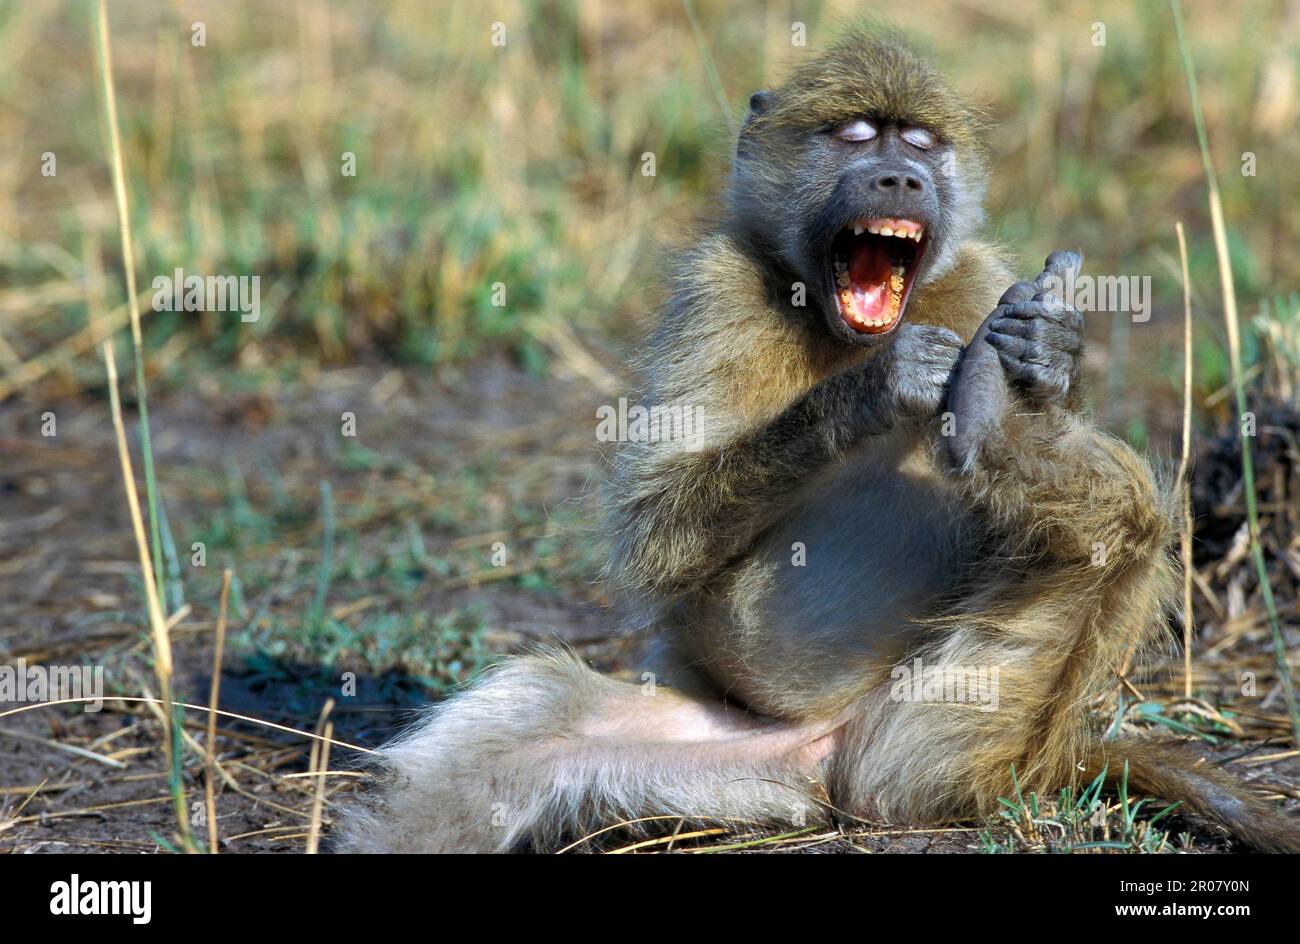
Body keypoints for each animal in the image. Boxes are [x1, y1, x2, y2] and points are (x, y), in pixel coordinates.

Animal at [337, 27, 1300, 854]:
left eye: (921, 144)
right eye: (856, 136)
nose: (900, 181)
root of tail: (827, 757)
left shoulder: (979, 278)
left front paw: (1046, 352)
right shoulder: (715, 289)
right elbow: (655, 528)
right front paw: (871, 391)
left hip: (950, 734)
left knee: (1119, 528)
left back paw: (997, 426)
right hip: (732, 750)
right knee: (508, 742)